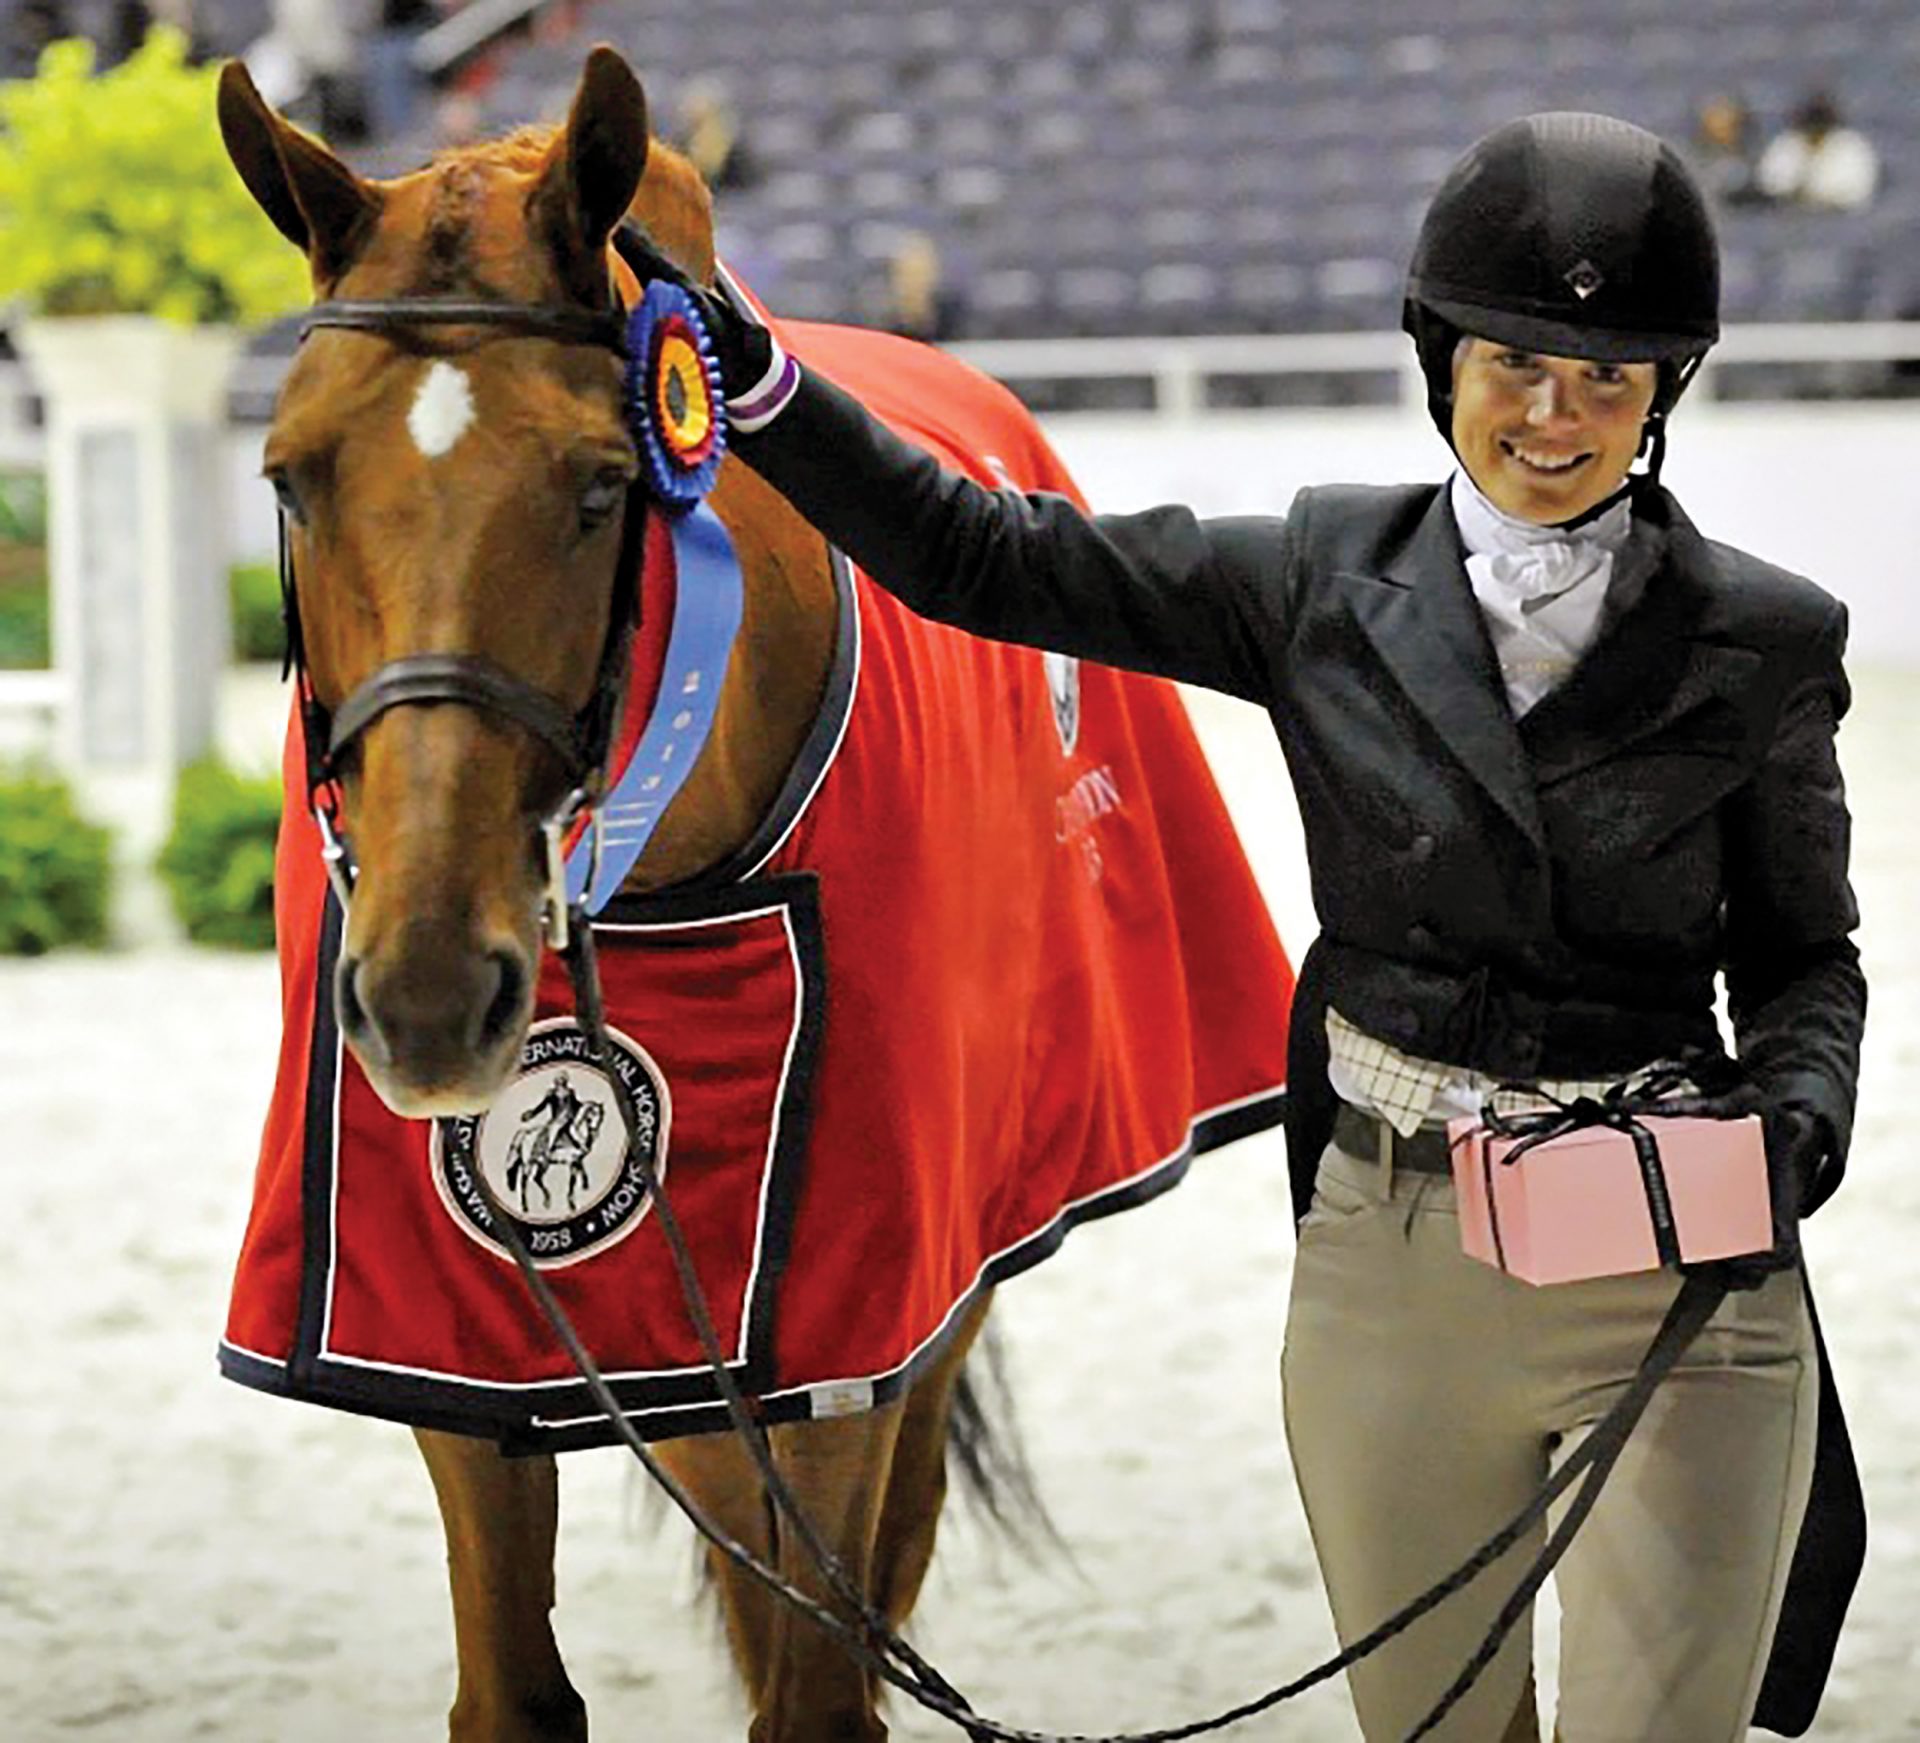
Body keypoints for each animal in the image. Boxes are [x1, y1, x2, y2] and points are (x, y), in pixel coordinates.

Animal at [214, 44, 1293, 1743]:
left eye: (602, 486)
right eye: (291, 477)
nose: (432, 998)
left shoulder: (848, 1346)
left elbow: (820, 1677)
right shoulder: (446, 1363)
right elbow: (514, 1687)